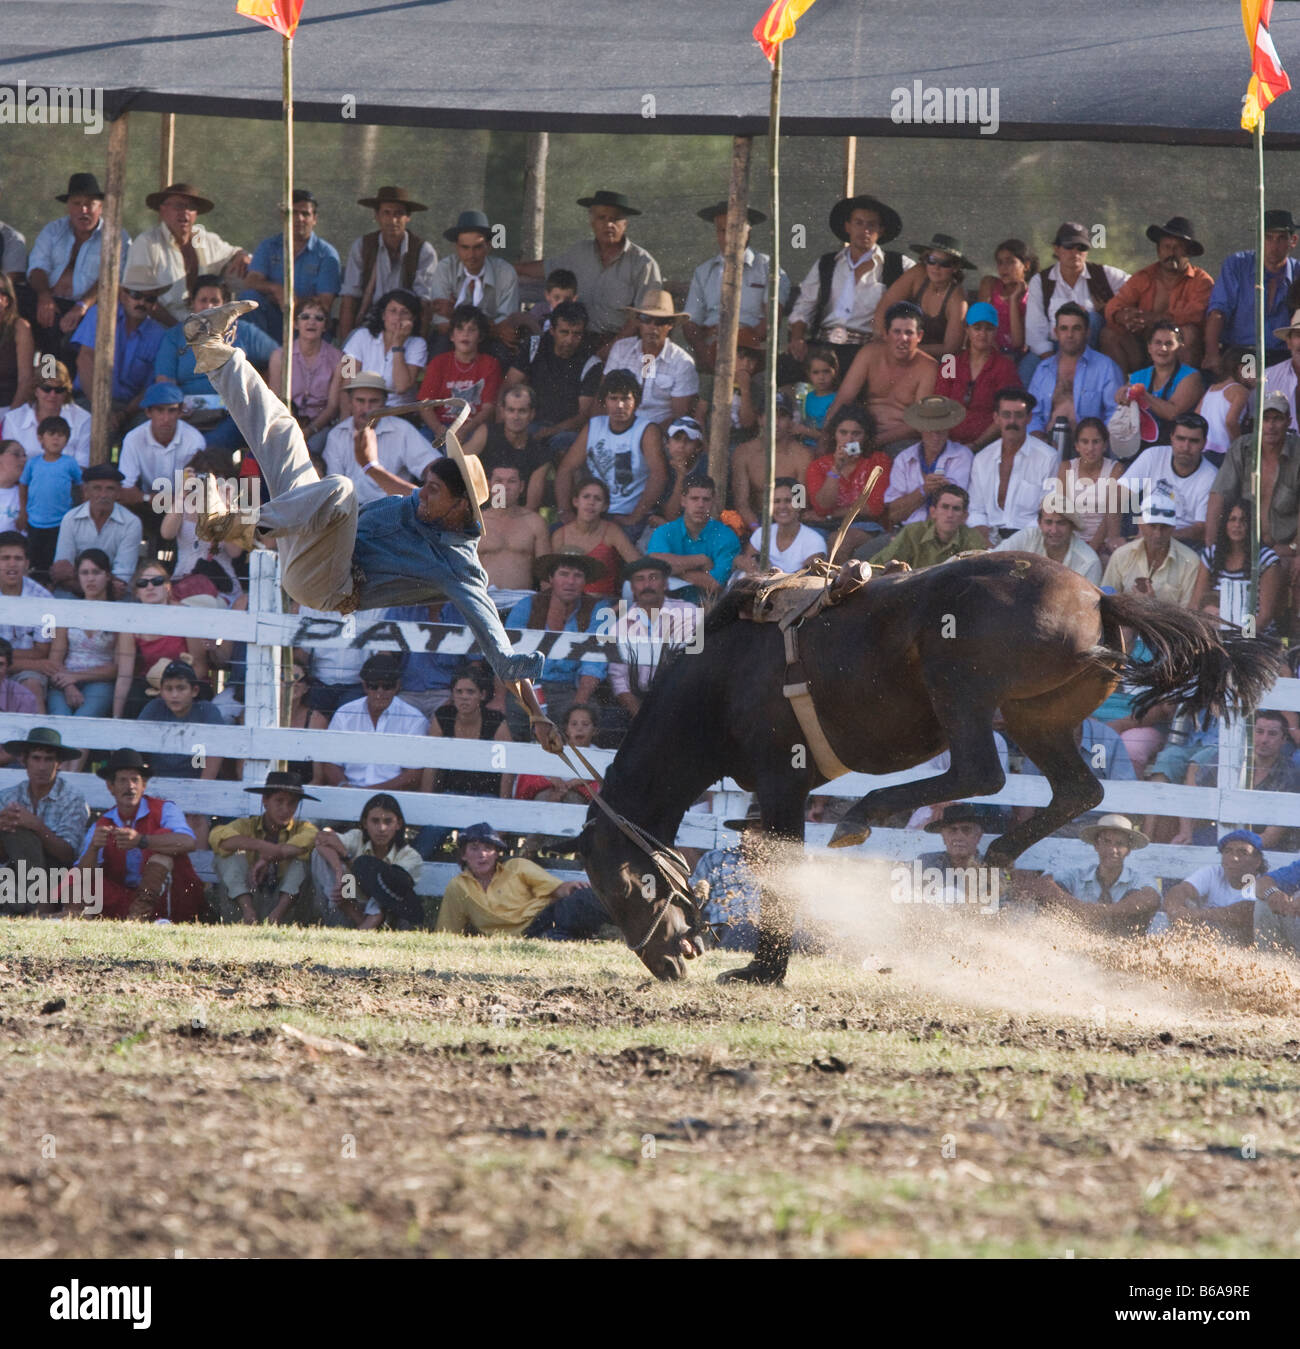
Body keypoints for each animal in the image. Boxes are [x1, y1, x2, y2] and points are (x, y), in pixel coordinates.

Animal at [579, 552, 1281, 985]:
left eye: (623, 886)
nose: (670, 962)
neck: (722, 682)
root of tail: (1100, 600)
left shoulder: (783, 781)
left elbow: (779, 866)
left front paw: (764, 971)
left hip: (961, 686)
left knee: (983, 774)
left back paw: (869, 815)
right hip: (1035, 717)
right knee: (1078, 789)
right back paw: (998, 855)